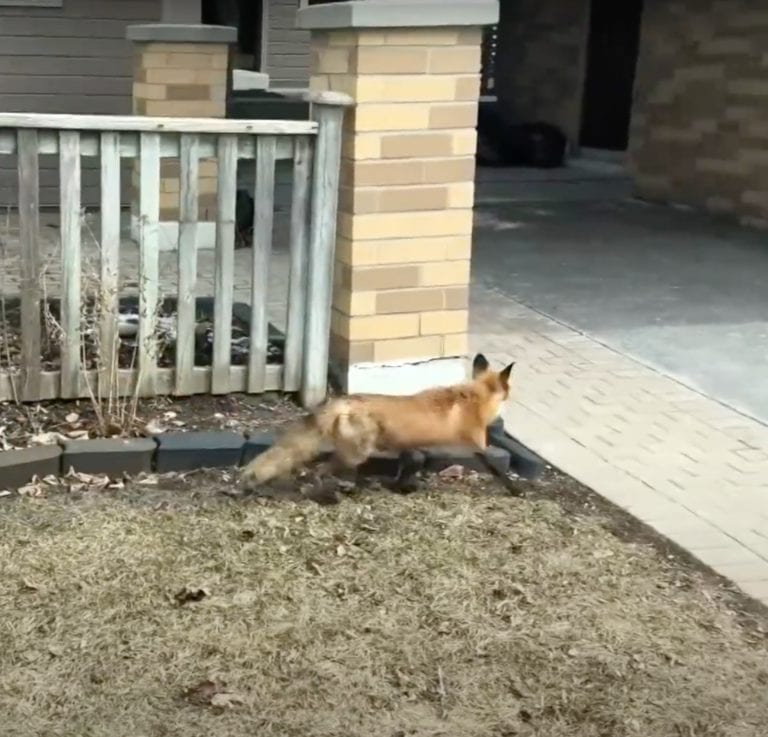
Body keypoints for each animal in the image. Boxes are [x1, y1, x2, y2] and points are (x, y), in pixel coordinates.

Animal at [239, 352, 517, 494]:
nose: (511, 395)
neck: (473, 399)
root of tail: (342, 401)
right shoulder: (477, 445)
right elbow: (498, 470)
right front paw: (516, 490)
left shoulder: (415, 447)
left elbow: (412, 464)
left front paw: (401, 486)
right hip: (356, 454)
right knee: (320, 470)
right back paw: (329, 491)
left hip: (351, 452)